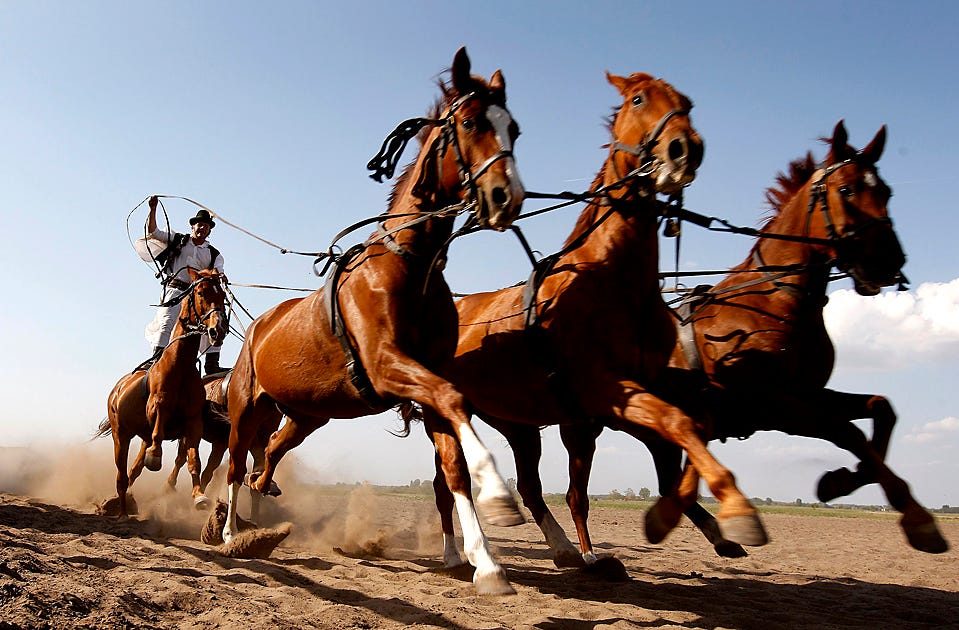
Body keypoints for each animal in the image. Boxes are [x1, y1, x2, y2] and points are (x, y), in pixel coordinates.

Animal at [100, 268, 227, 517]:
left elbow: (194, 460)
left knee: (133, 470)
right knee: (122, 475)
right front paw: (155, 457)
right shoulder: (156, 408)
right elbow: (158, 433)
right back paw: (121, 511)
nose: (218, 329)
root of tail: (116, 390)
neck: (180, 366)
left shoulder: (193, 421)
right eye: (201, 291)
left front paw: (199, 496)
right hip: (121, 435)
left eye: (223, 295)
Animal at [222, 48, 526, 594]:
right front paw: (499, 495)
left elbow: (452, 467)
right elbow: (456, 401)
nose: (506, 197)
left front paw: (485, 561)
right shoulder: (390, 367)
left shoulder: (426, 383)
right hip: (246, 408)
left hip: (305, 415)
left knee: (269, 455)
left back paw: (261, 510)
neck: (409, 265)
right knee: (237, 465)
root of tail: (258, 325)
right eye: (471, 122)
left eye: (513, 127)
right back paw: (233, 532)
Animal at [416, 71, 773, 584]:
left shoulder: (608, 406)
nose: (684, 148)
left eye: (686, 103)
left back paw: (559, 548)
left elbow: (687, 428)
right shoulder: (601, 395)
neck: (613, 282)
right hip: (444, 417)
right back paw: (455, 553)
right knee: (447, 481)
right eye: (639, 99)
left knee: (526, 484)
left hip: (516, 423)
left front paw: (692, 522)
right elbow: (658, 436)